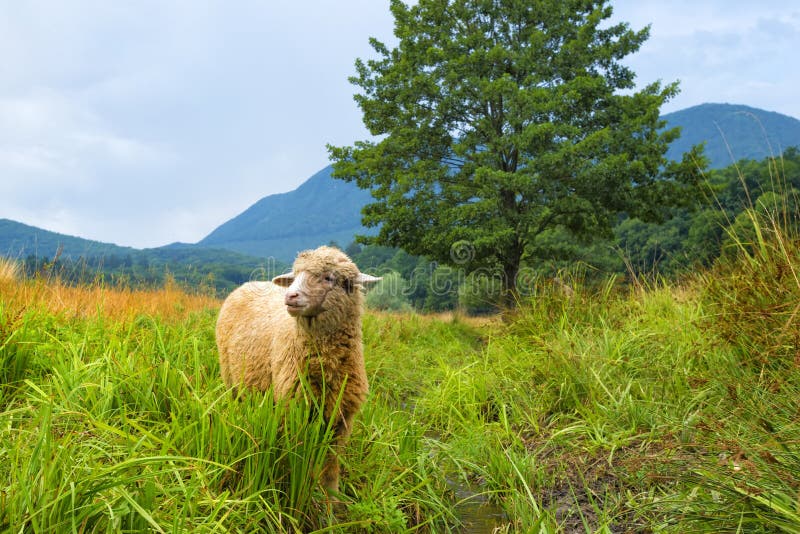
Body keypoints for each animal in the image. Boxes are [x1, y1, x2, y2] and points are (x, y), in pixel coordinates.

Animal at [215, 246, 380, 493]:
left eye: (329, 277)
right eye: (295, 276)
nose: (290, 296)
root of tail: (246, 284)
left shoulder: (341, 418)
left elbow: (330, 466)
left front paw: (331, 497)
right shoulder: (295, 409)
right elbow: (299, 459)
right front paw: (297, 488)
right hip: (230, 381)